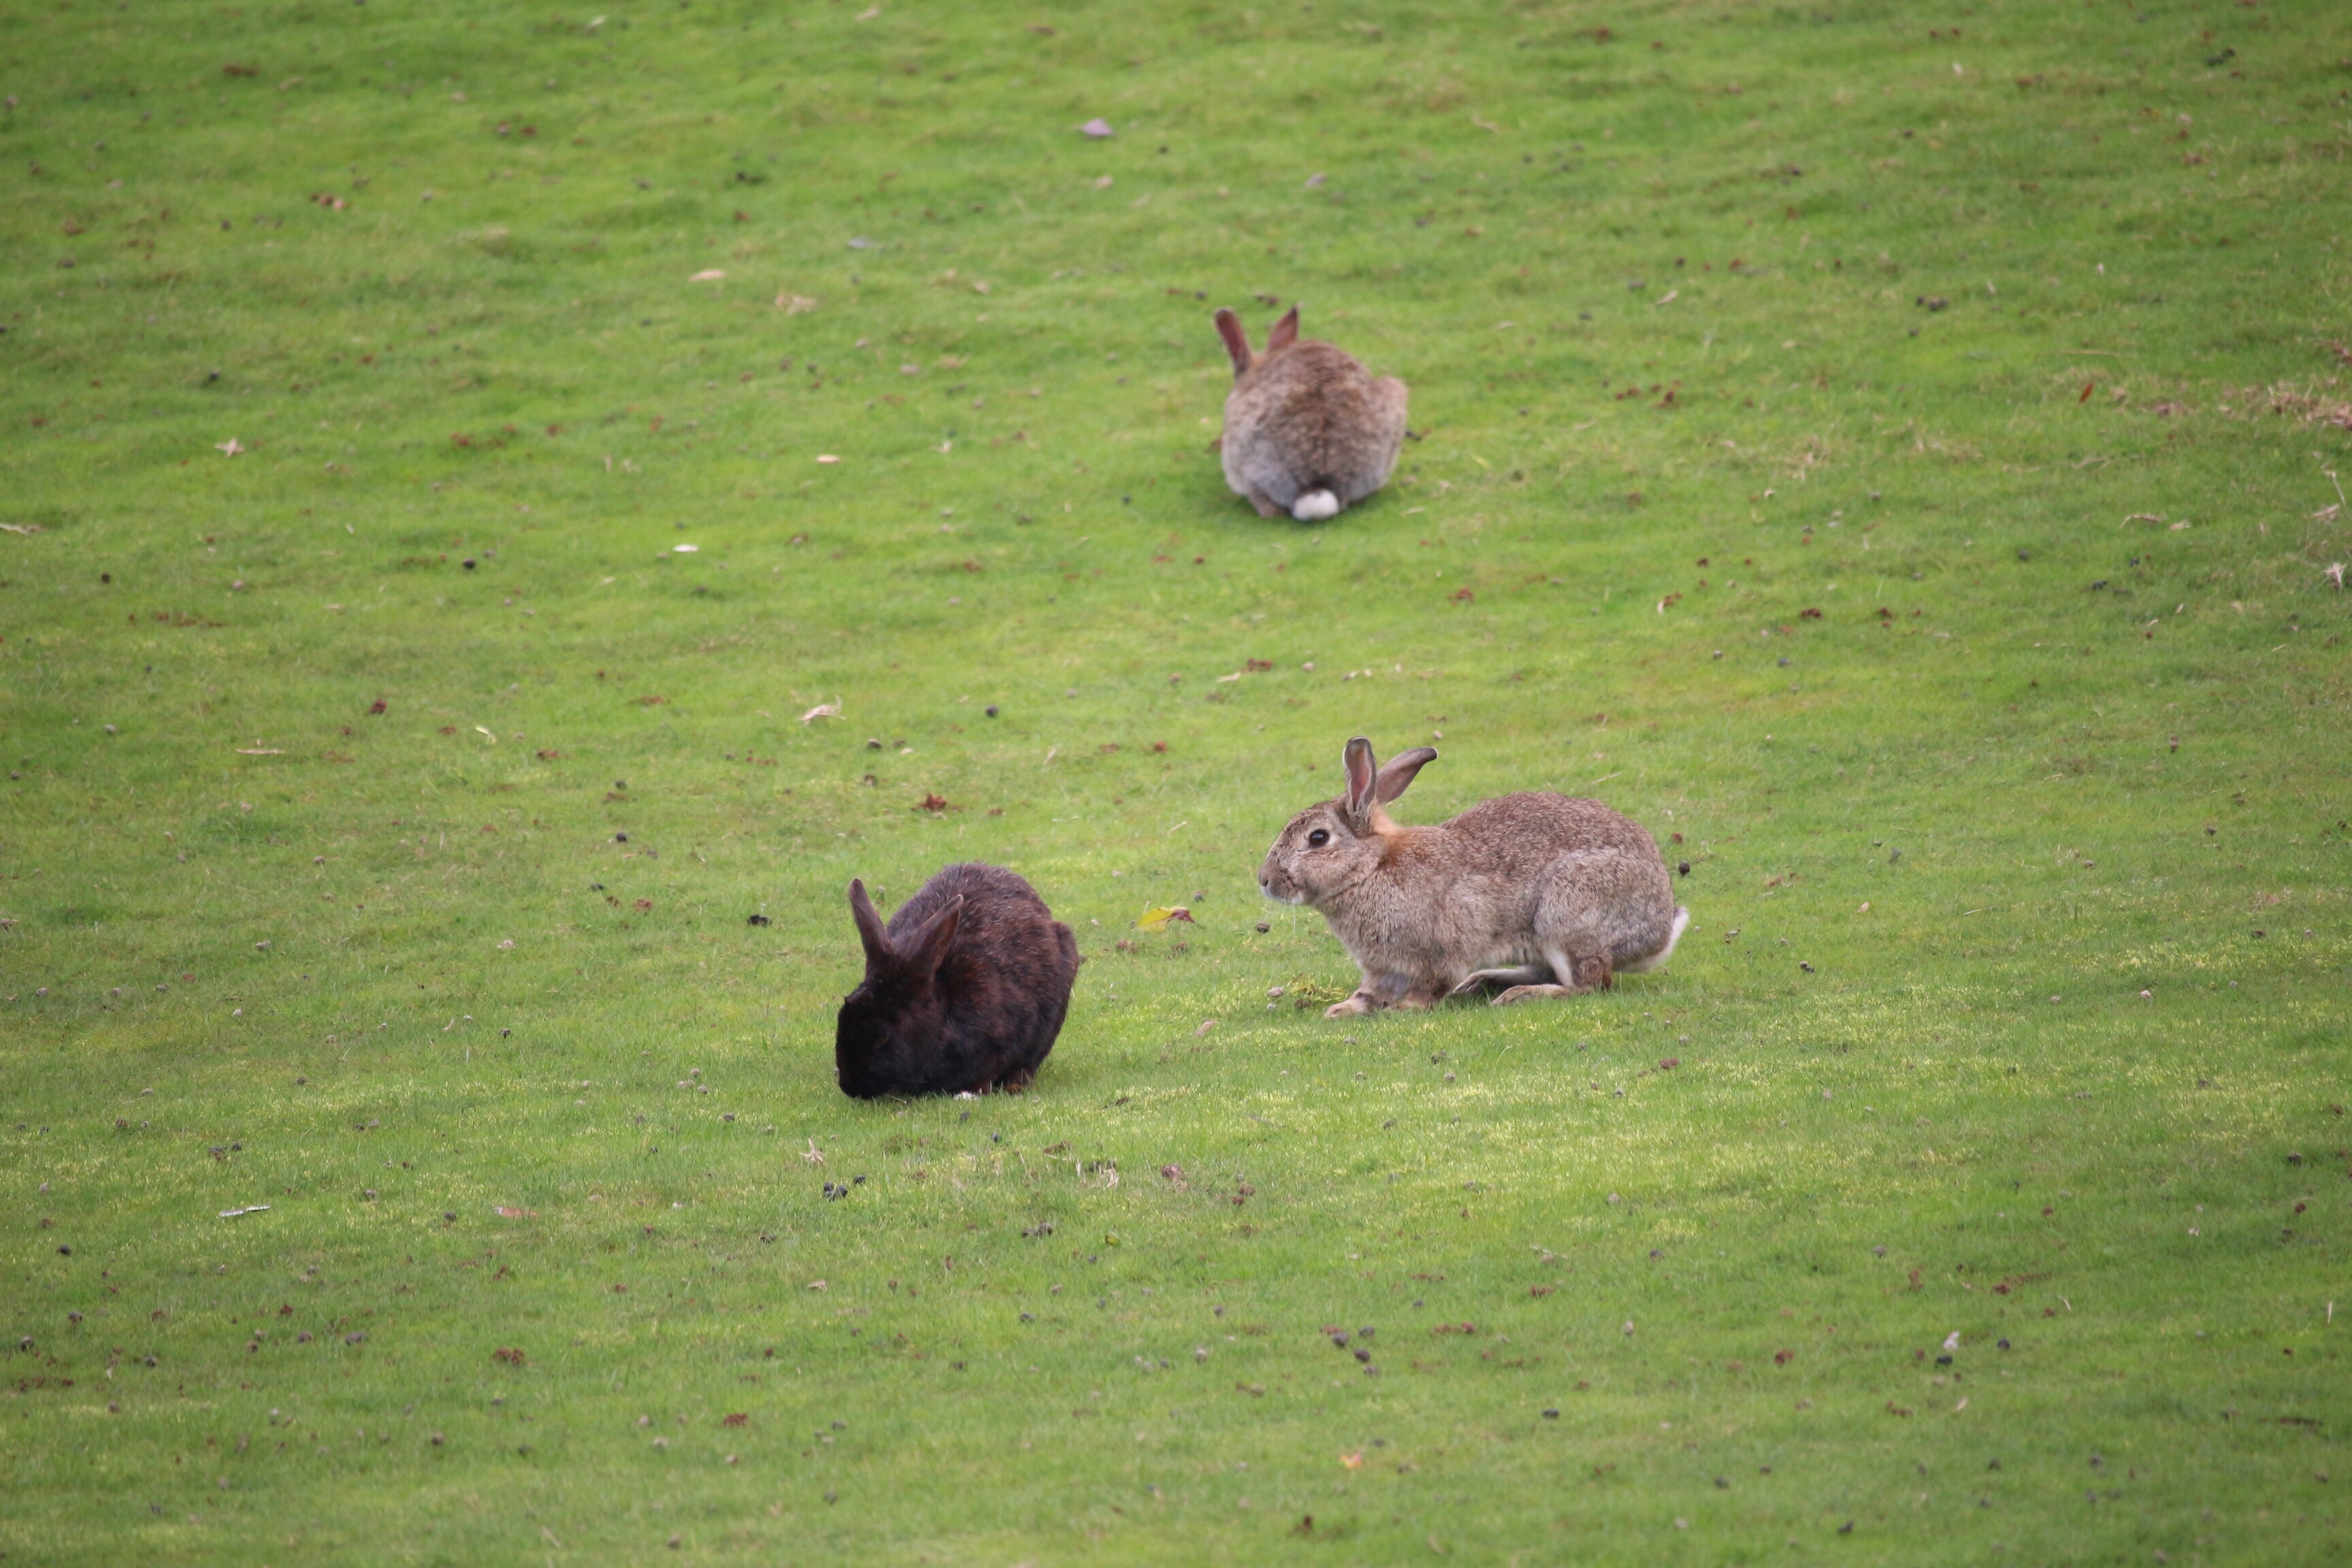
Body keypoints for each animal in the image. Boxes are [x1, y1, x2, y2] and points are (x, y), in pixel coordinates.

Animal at [1258, 738, 1689, 1017]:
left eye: (1317, 838)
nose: (1264, 880)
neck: (1370, 869)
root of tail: (1660, 932)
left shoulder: (1439, 950)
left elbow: (1430, 985)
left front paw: (1406, 1007)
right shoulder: (1383, 966)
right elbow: (1371, 991)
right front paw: (1343, 1009)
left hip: (1567, 915)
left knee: (1588, 984)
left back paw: (1520, 996)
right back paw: (1486, 981)